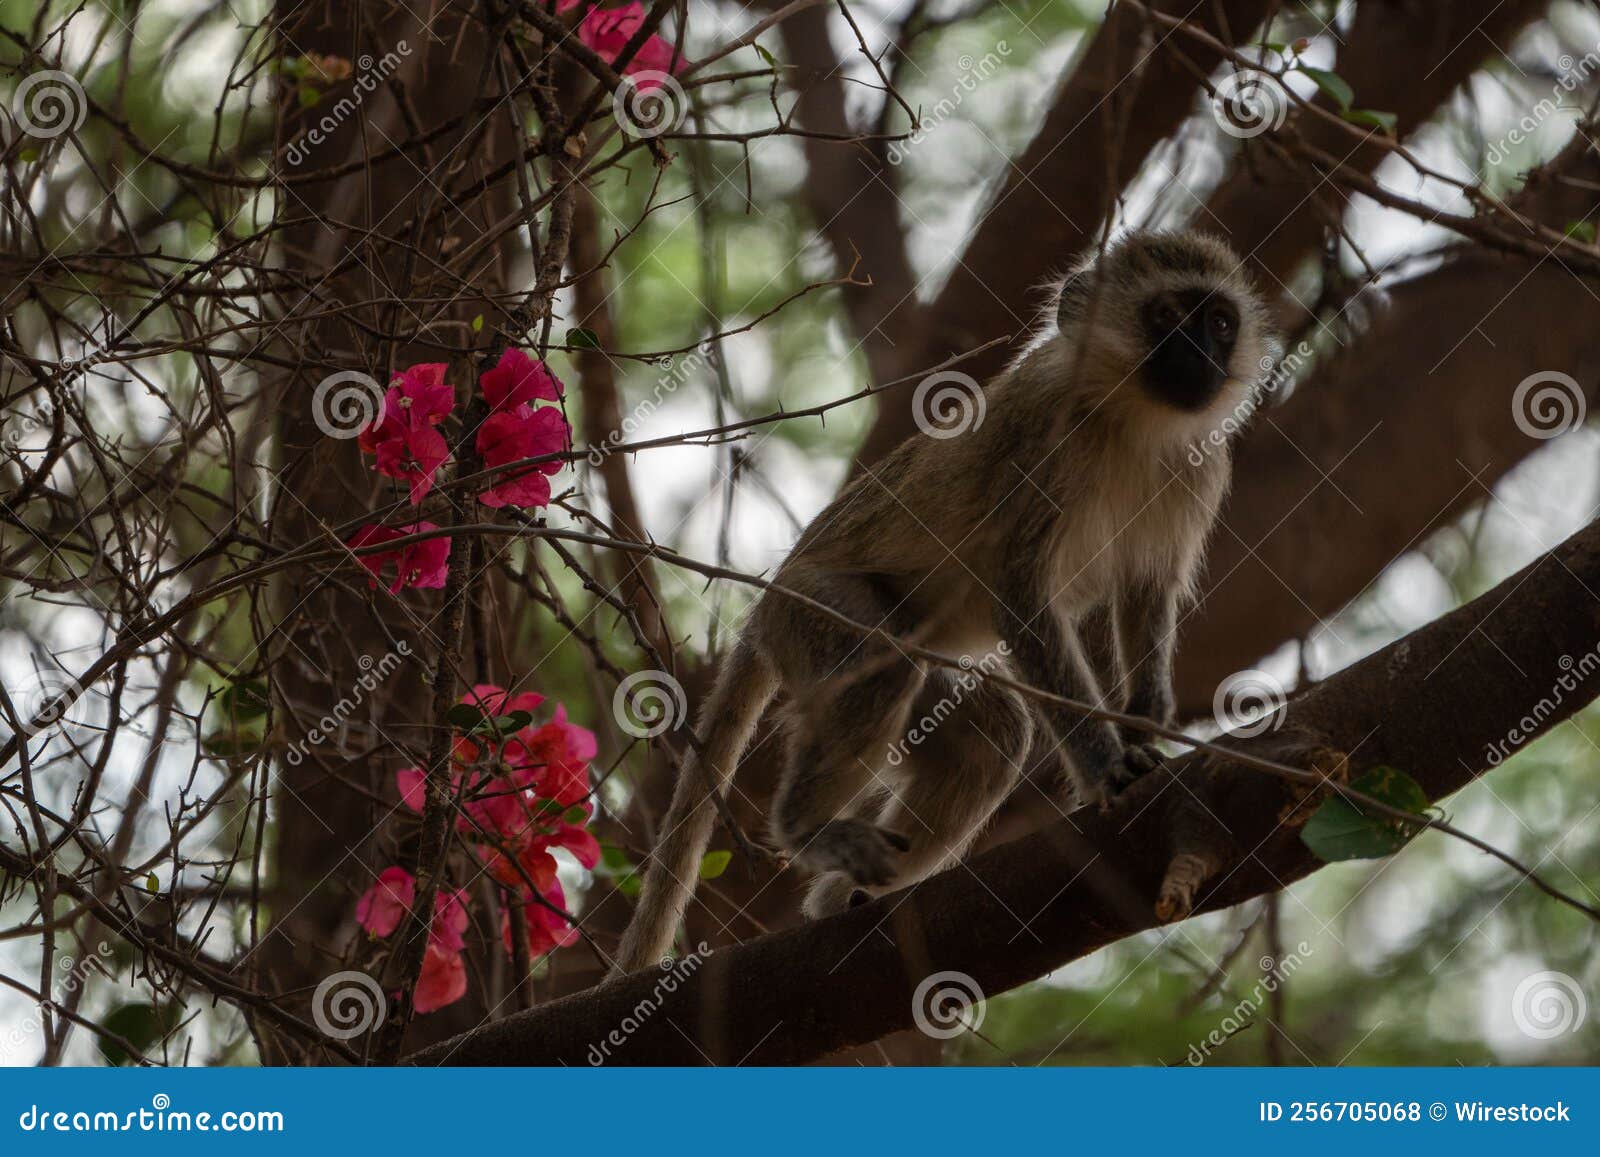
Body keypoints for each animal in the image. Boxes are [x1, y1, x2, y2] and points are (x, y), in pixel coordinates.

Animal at [610, 230, 1279, 977]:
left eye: (1218, 322)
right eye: (1165, 316)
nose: (1202, 358)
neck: (1130, 417)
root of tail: (767, 606)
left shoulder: (1201, 466)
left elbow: (1144, 593)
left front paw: (1144, 719)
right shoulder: (1042, 439)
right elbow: (1022, 600)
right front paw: (1107, 769)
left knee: (987, 735)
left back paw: (840, 895)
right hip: (814, 612)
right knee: (885, 668)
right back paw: (805, 829)